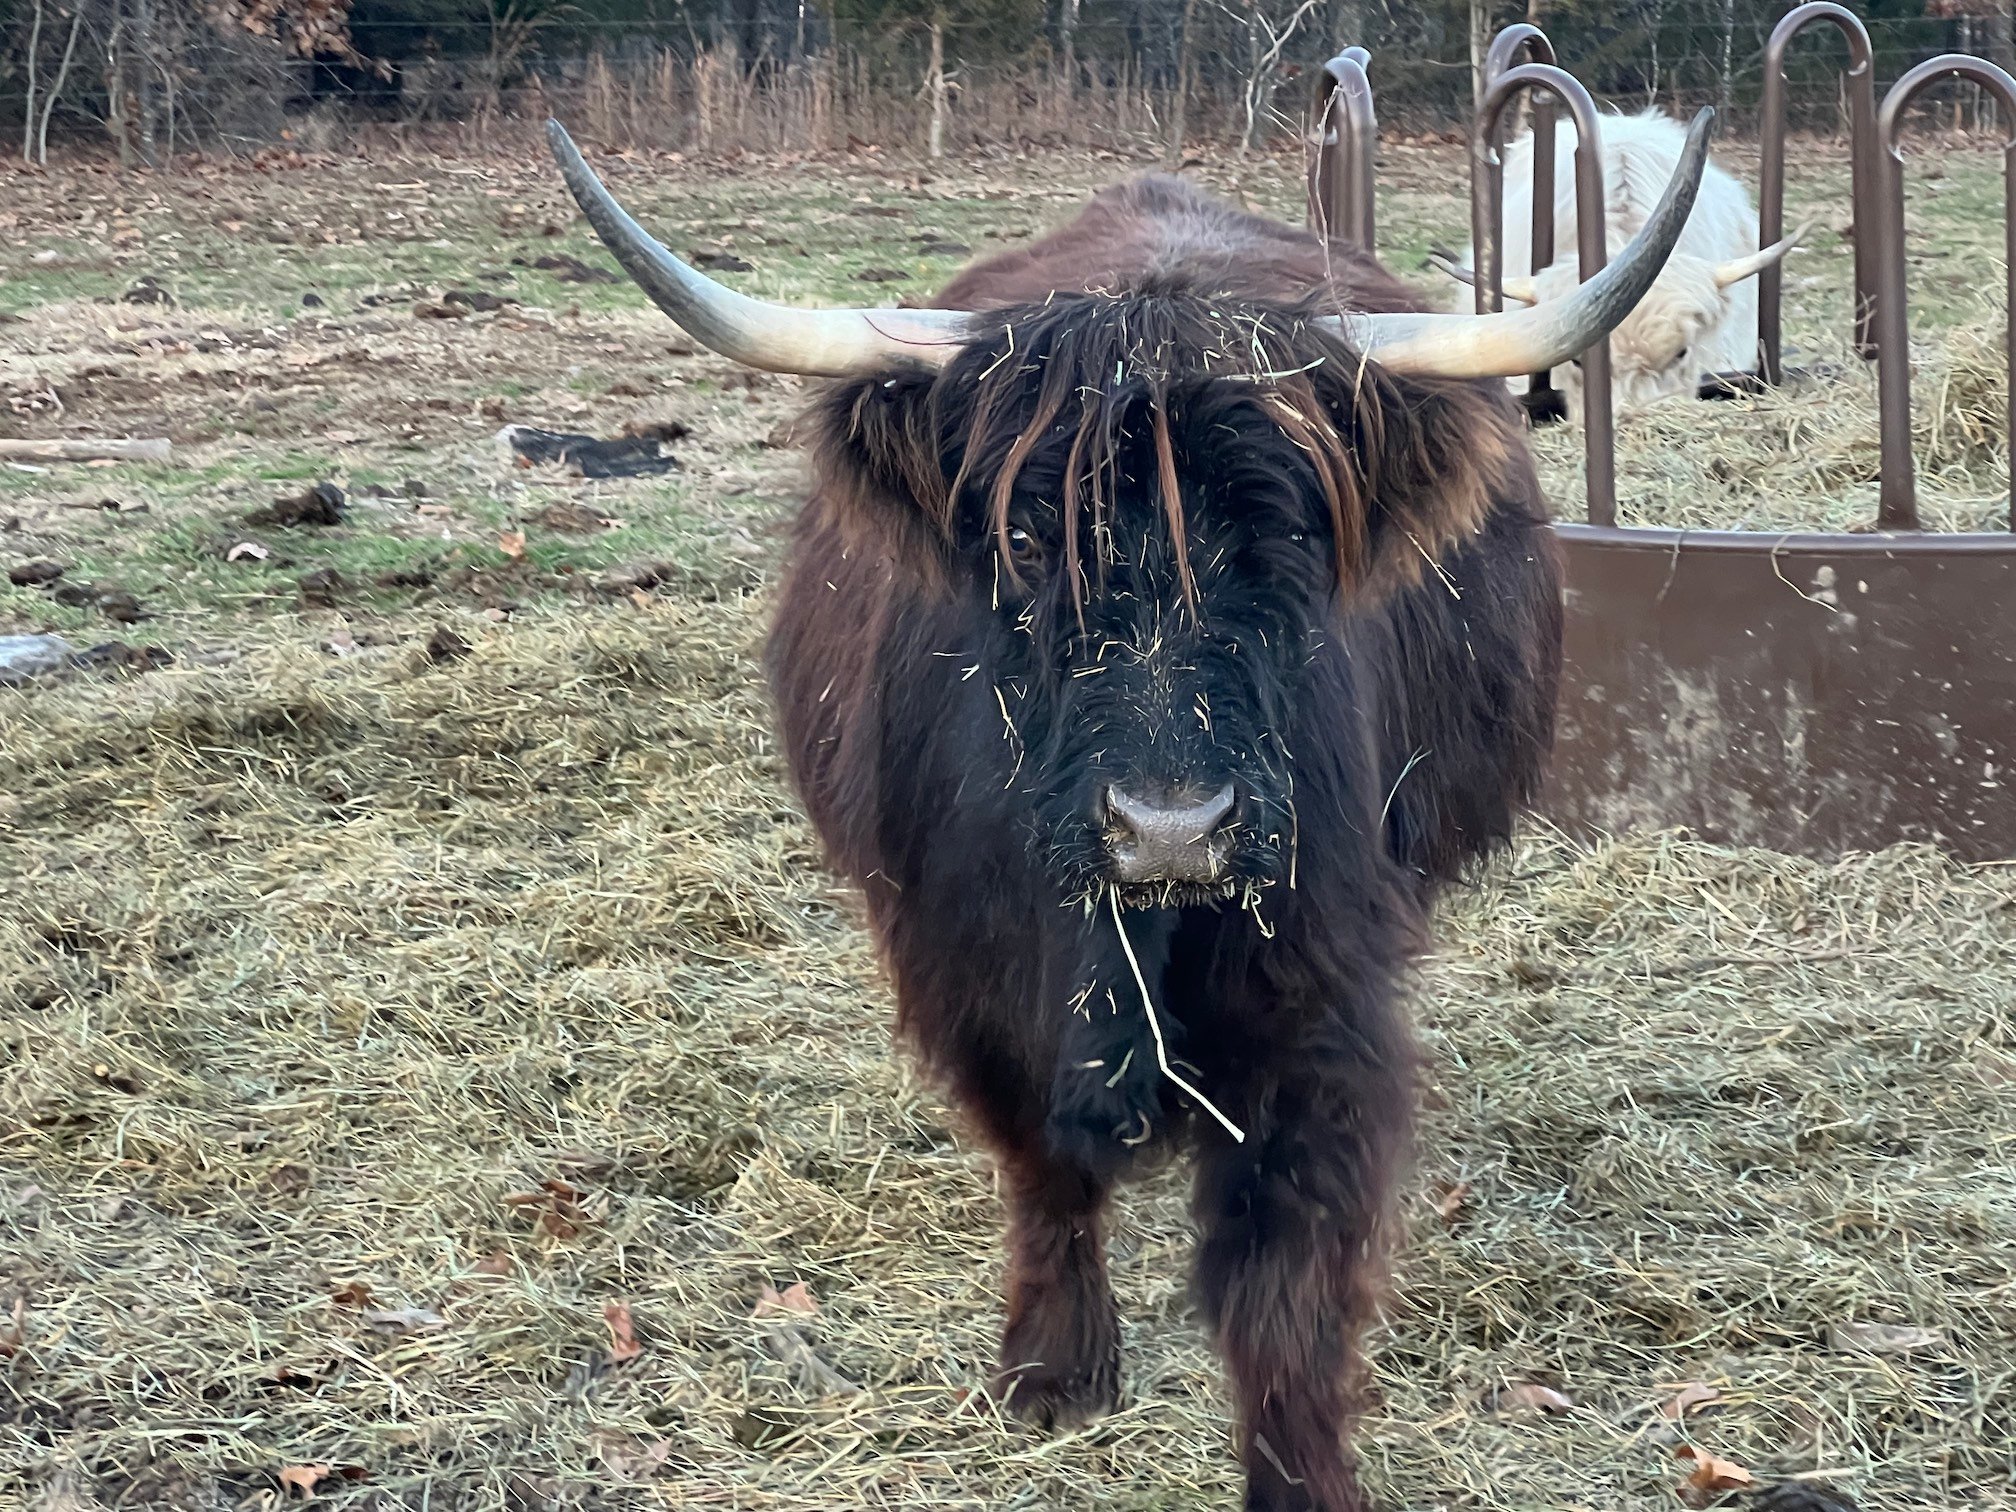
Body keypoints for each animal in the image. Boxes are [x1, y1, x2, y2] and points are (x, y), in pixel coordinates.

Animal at [548, 116, 1710, 1511]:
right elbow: (1042, 1164)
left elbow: (1284, 1273)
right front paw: (1056, 1373)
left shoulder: (1321, 992)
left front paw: (1298, 1478)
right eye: (1030, 541)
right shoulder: (967, 969)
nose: (1170, 828)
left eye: (1288, 538)